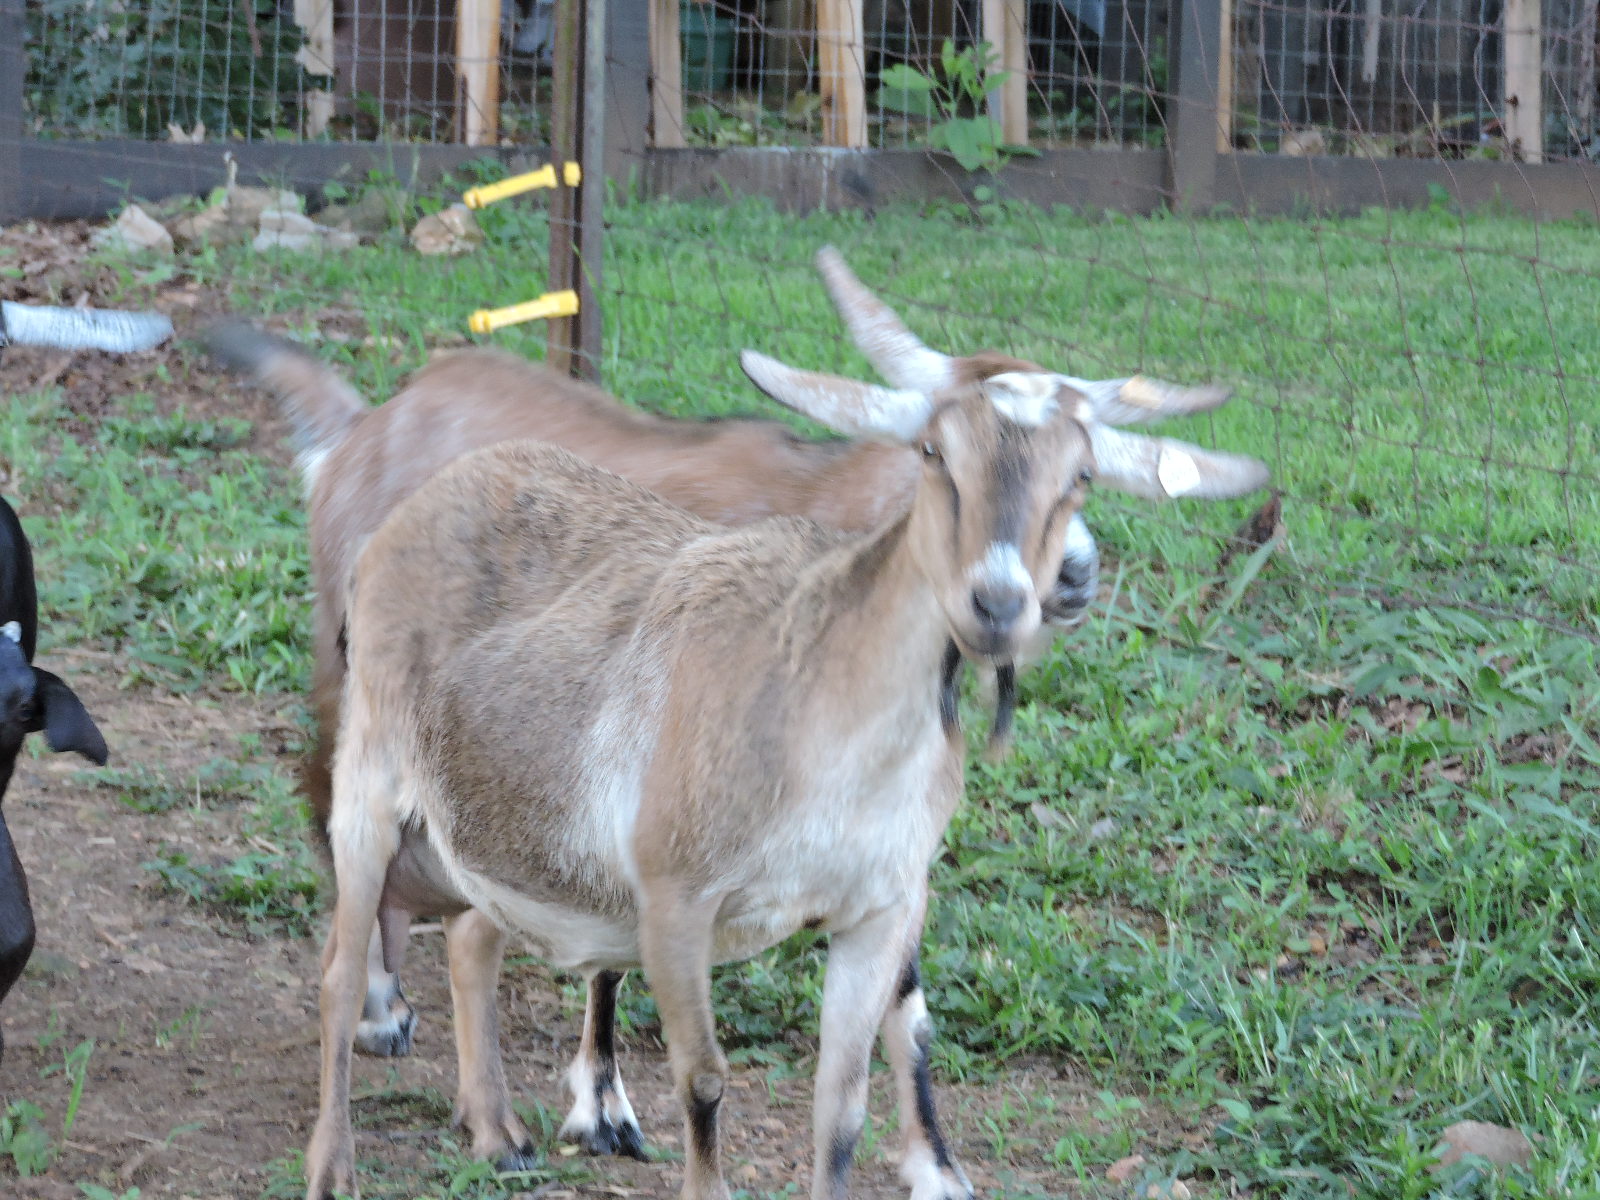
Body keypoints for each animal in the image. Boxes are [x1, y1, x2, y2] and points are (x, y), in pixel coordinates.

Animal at [210, 250, 1265, 1180]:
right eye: (933, 452)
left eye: (1084, 475)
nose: (1047, 589)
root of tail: (373, 423)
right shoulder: (673, 872)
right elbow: (703, 1068)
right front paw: (606, 1103)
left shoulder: (882, 892)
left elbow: (870, 1064)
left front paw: (935, 1165)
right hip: (361, 714)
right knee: (334, 875)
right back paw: (370, 1048)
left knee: (475, 923)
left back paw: (495, 1126)